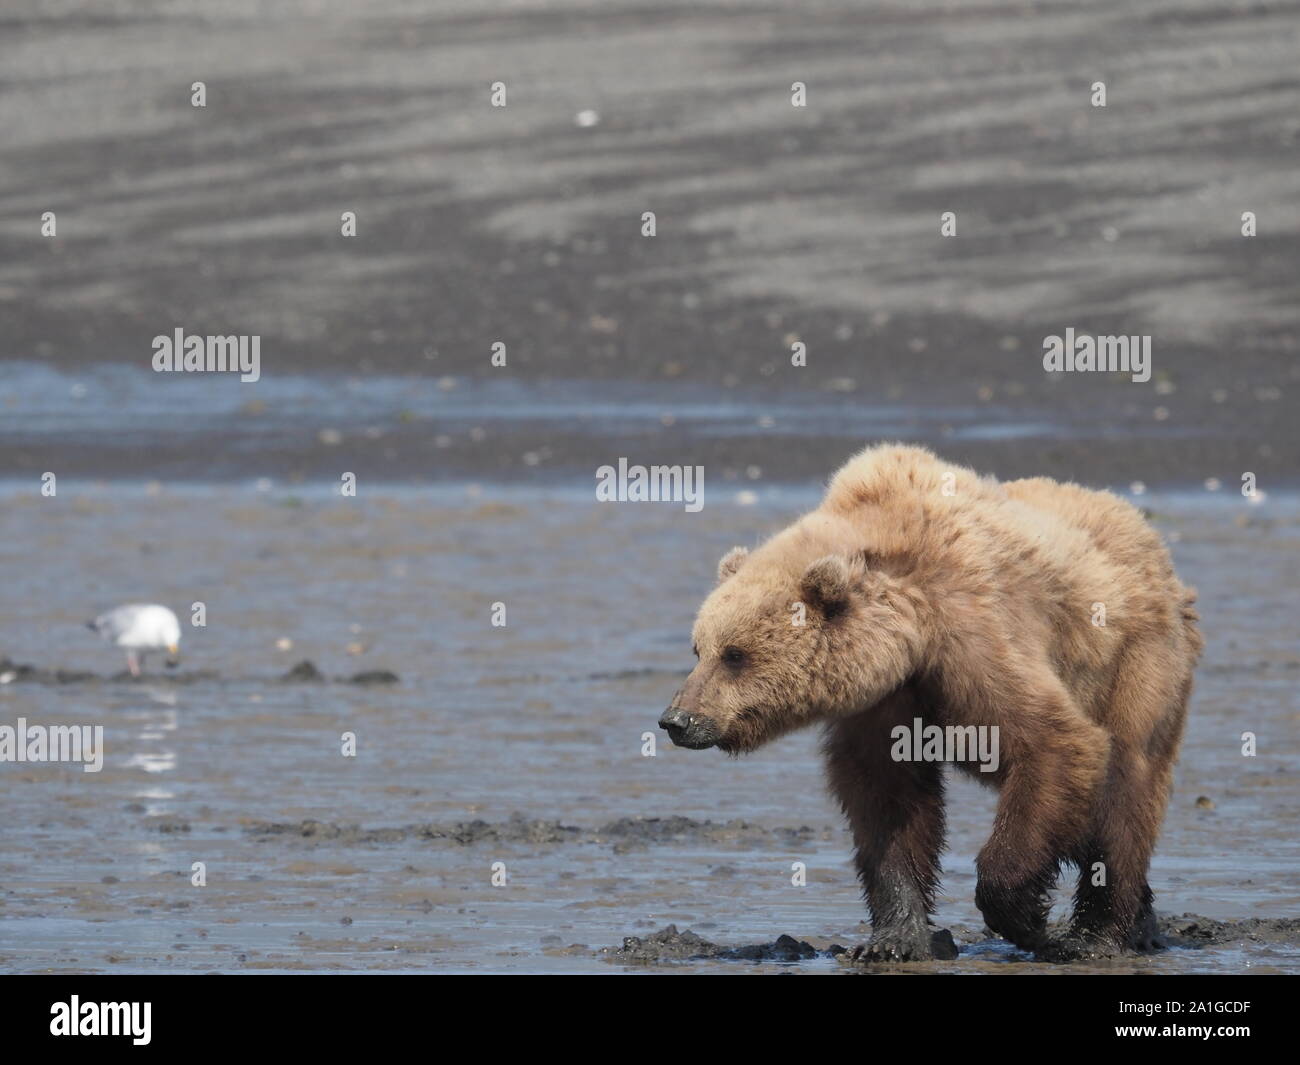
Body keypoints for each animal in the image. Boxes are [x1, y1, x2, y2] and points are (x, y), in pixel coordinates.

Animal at [658, 444, 1201, 962]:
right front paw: (893, 938)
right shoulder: (883, 698)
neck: (909, 631)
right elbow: (887, 798)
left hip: (1136, 664)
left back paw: (1096, 935)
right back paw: (1143, 923)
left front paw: (1025, 917)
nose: (676, 719)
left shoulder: (973, 636)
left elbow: (1055, 740)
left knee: (1126, 787)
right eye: (699, 650)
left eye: (735, 655)